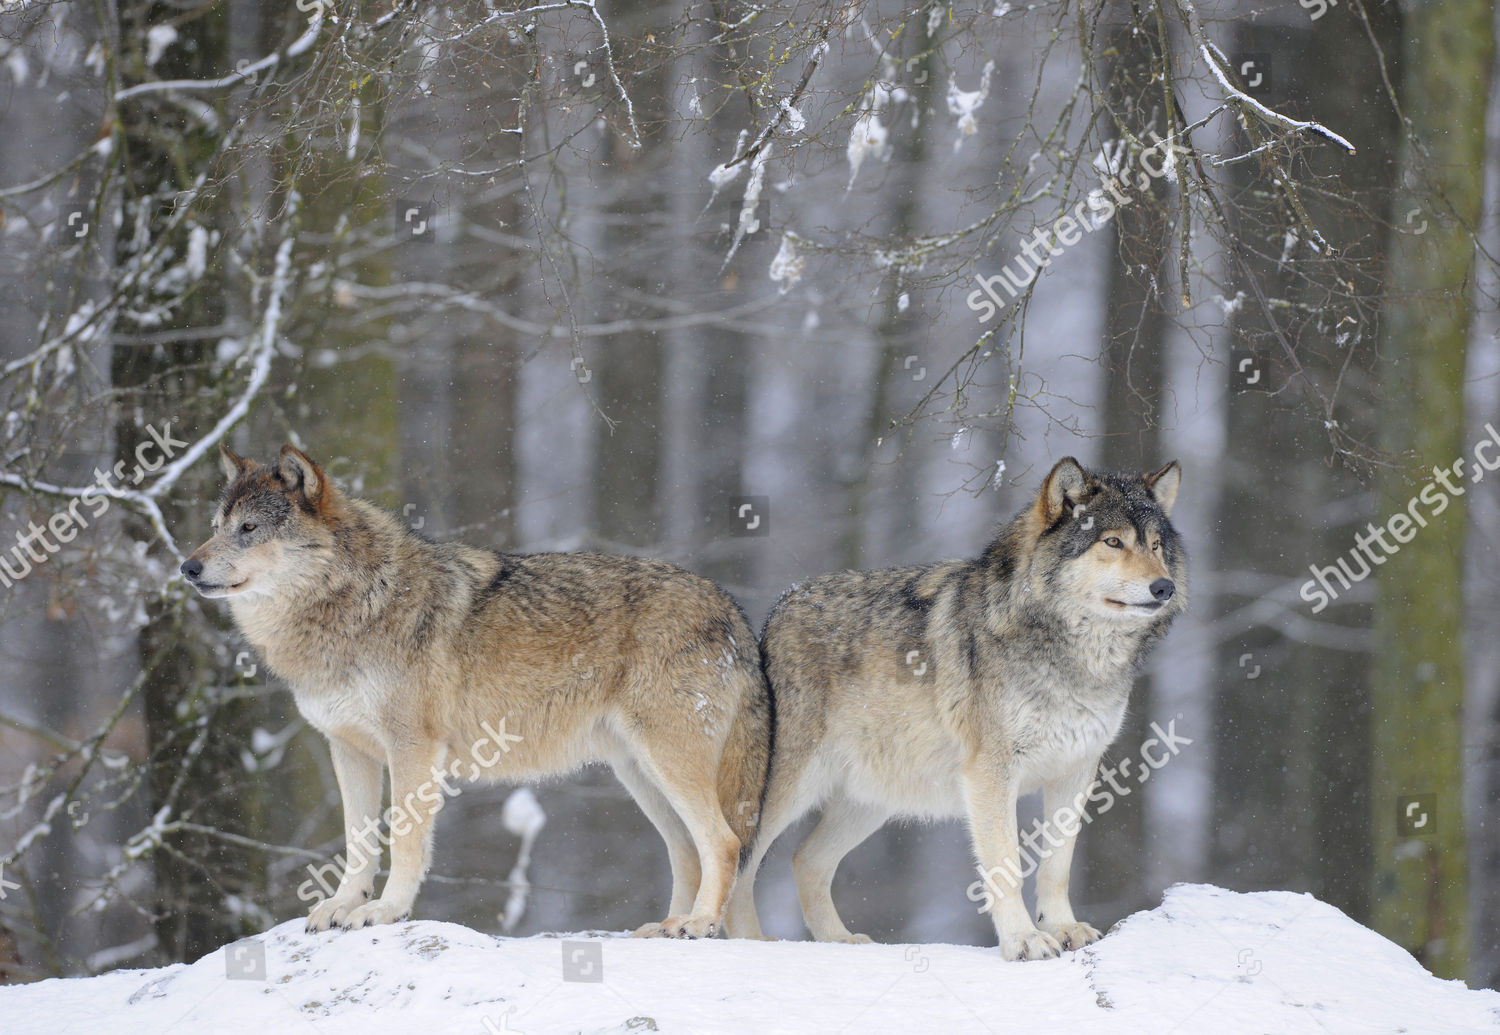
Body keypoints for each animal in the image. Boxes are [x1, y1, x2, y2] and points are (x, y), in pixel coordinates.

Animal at [181, 443, 771, 938]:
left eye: (249, 528)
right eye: (215, 526)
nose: (188, 566)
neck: (354, 603)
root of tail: (735, 612)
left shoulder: (412, 748)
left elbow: (407, 841)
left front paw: (385, 910)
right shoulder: (347, 749)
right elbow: (358, 842)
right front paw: (342, 906)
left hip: (667, 764)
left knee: (723, 843)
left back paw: (696, 924)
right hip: (639, 774)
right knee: (688, 851)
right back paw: (667, 927)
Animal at [723, 457, 1186, 960]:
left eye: (1156, 545)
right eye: (1113, 541)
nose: (1164, 587)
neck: (1074, 659)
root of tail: (775, 613)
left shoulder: (1077, 770)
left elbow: (1056, 865)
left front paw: (1064, 928)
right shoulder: (991, 772)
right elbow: (1006, 865)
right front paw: (1024, 941)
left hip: (871, 804)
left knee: (804, 859)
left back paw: (840, 942)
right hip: (785, 792)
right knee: (743, 861)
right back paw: (748, 943)